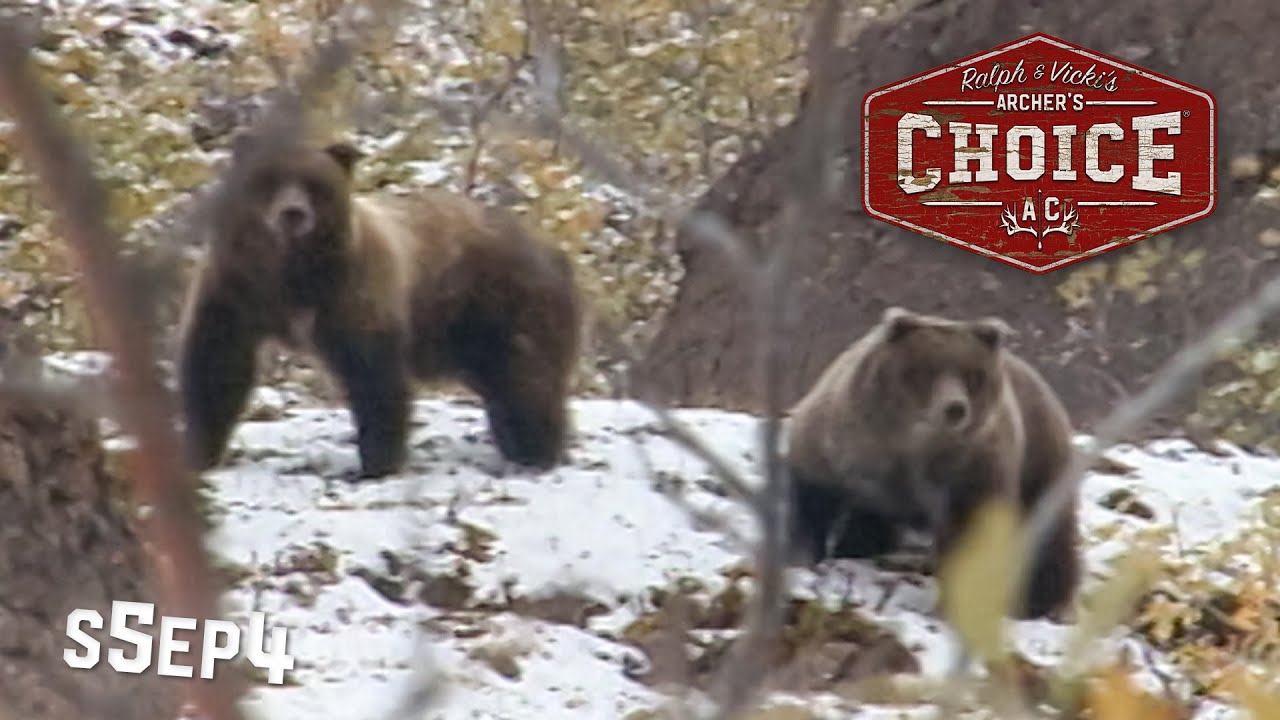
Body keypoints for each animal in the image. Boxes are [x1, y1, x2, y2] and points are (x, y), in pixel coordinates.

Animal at [176, 132, 583, 478]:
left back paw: (535, 453)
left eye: (314, 183)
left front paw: (376, 463)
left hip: (503, 304)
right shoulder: (237, 289)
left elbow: (374, 375)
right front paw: (201, 450)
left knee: (526, 377)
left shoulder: (352, 293)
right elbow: (217, 364)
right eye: (269, 179)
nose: (293, 213)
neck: (292, 274)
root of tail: (551, 248)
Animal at [783, 306, 1080, 620]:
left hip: (1039, 460)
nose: (955, 407)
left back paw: (1046, 603)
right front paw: (804, 557)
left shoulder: (973, 471)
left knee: (1051, 537)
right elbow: (815, 498)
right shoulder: (842, 448)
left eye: (972, 374)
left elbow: (972, 535)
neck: (914, 446)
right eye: (926, 369)